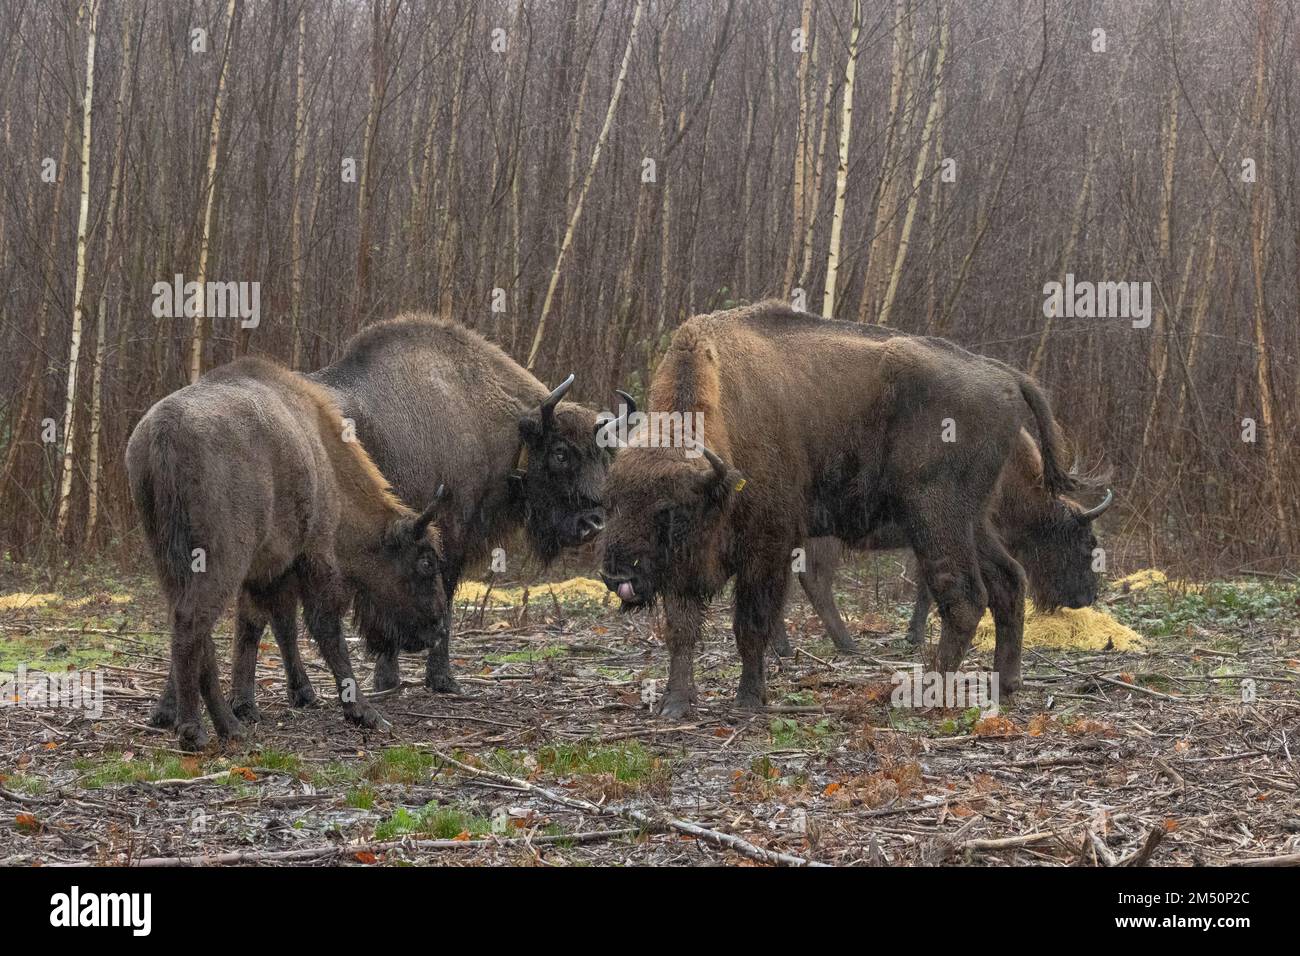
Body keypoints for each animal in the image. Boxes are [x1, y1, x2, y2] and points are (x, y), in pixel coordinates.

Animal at [127, 357, 450, 751]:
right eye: (426, 562)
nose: (438, 626)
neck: (325, 464)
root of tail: (164, 430)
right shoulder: (314, 559)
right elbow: (324, 630)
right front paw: (363, 712)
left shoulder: (269, 572)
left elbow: (266, 626)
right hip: (220, 561)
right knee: (193, 624)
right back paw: (202, 730)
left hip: (169, 562)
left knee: (192, 632)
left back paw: (226, 724)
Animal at [787, 429, 1113, 655]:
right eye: (1087, 542)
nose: (1089, 596)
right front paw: (917, 635)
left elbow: (925, 586)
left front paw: (914, 635)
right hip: (822, 537)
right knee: (815, 581)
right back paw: (847, 644)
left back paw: (785, 648)